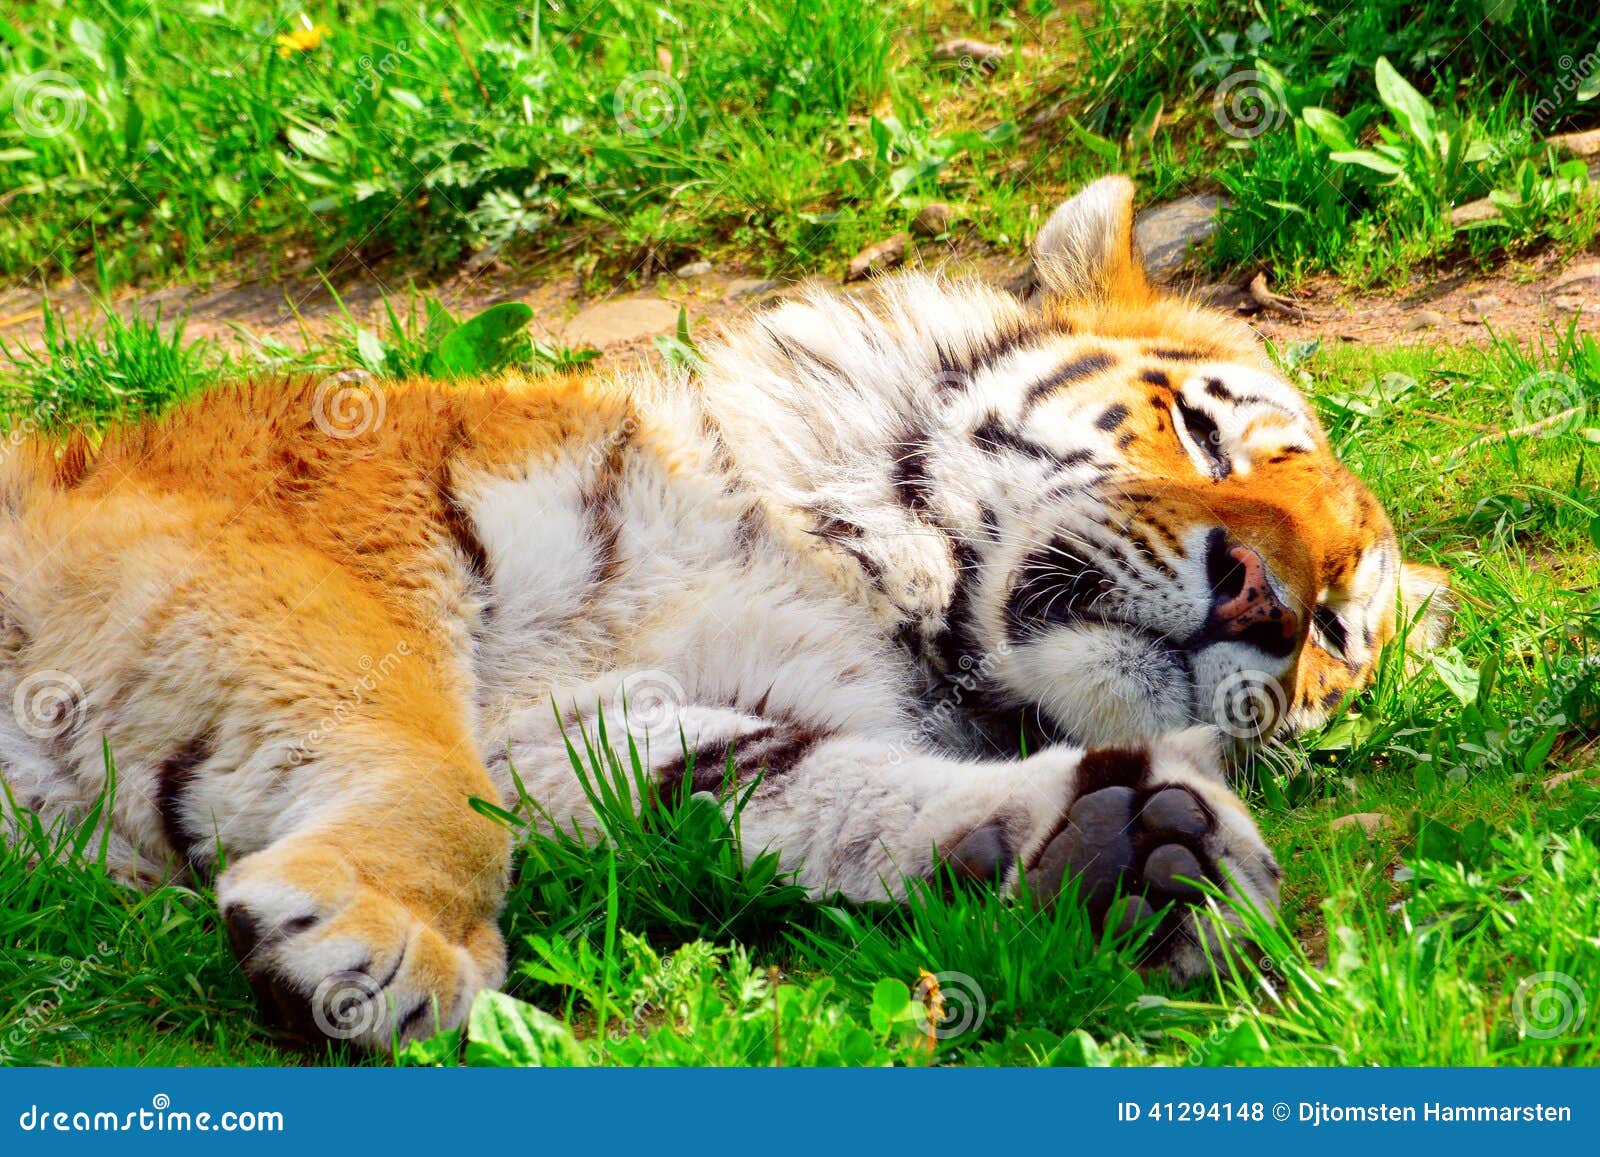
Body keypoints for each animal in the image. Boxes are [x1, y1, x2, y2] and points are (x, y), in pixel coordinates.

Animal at [0, 177, 1449, 1049]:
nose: (1270, 600)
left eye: (1337, 635)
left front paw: (1125, 846)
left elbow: (776, 778)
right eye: (1203, 434)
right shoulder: (318, 531)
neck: (848, 581)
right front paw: (384, 934)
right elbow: (416, 760)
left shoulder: (582, 725)